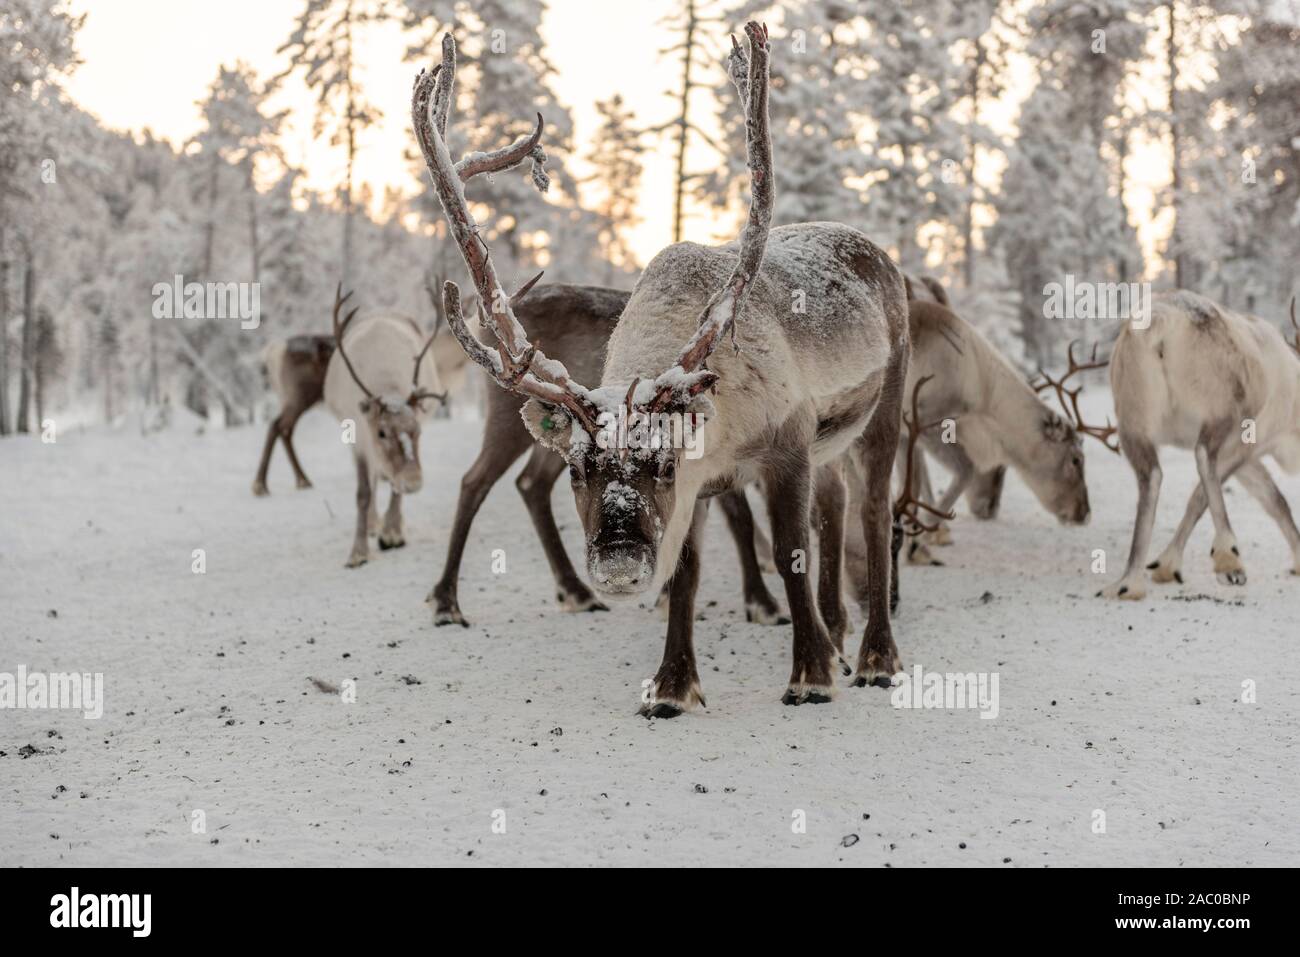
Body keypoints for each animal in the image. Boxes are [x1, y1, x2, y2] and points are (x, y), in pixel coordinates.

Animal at [323, 286, 445, 568]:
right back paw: (371, 523)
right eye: (381, 432)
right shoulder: (359, 441)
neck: (386, 385)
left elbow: (394, 487)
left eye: (418, 431)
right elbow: (363, 493)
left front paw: (392, 534)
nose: (414, 482)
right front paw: (358, 552)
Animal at [413, 23, 911, 714]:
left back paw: (873, 658)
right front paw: (673, 686)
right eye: (581, 471)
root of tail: (879, 253)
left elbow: (790, 553)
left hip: (883, 409)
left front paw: (809, 676)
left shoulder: (782, 449)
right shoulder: (708, 480)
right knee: (835, 507)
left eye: (663, 465)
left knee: (872, 512)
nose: (620, 564)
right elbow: (687, 572)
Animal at [1100, 291, 1300, 600]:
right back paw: (1229, 559)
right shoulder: (1243, 447)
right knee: (1203, 457)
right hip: (1224, 413)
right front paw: (1168, 564)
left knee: (1151, 476)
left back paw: (1129, 582)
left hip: (1132, 420)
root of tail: (1160, 322)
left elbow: (1274, 501)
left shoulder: (1248, 460)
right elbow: (1201, 497)